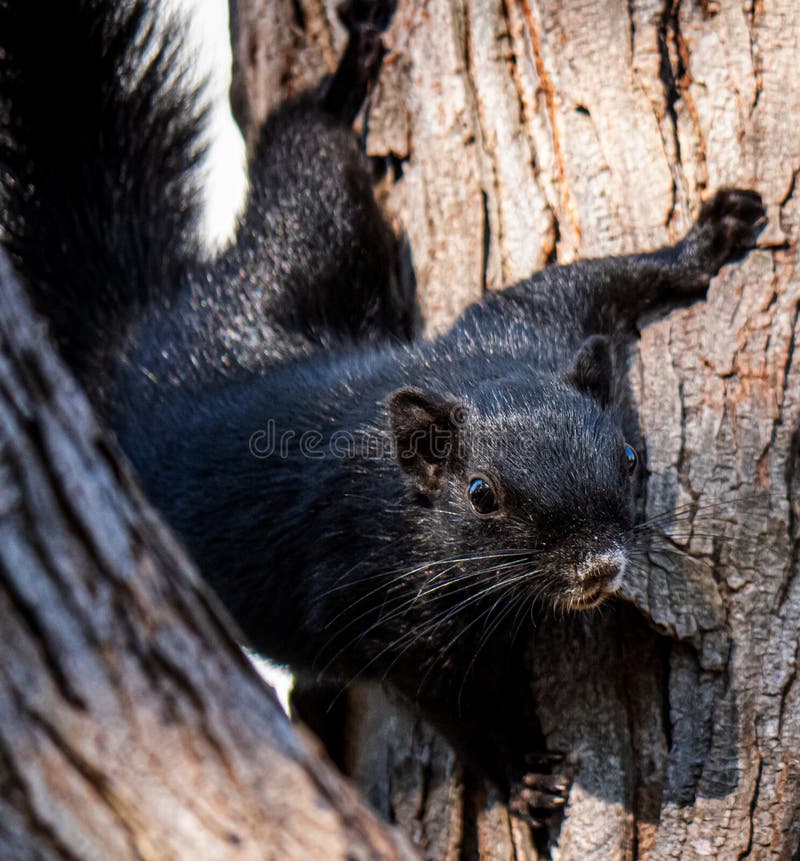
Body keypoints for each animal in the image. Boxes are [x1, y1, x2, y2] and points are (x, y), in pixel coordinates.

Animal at [0, 0, 766, 825]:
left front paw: (706, 239)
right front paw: (523, 777)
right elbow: (452, 706)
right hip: (302, 249)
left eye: (627, 458)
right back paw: (343, 78)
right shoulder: (381, 608)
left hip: (316, 251)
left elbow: (589, 277)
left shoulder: (532, 322)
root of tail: (139, 346)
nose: (597, 565)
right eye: (481, 494)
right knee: (300, 154)